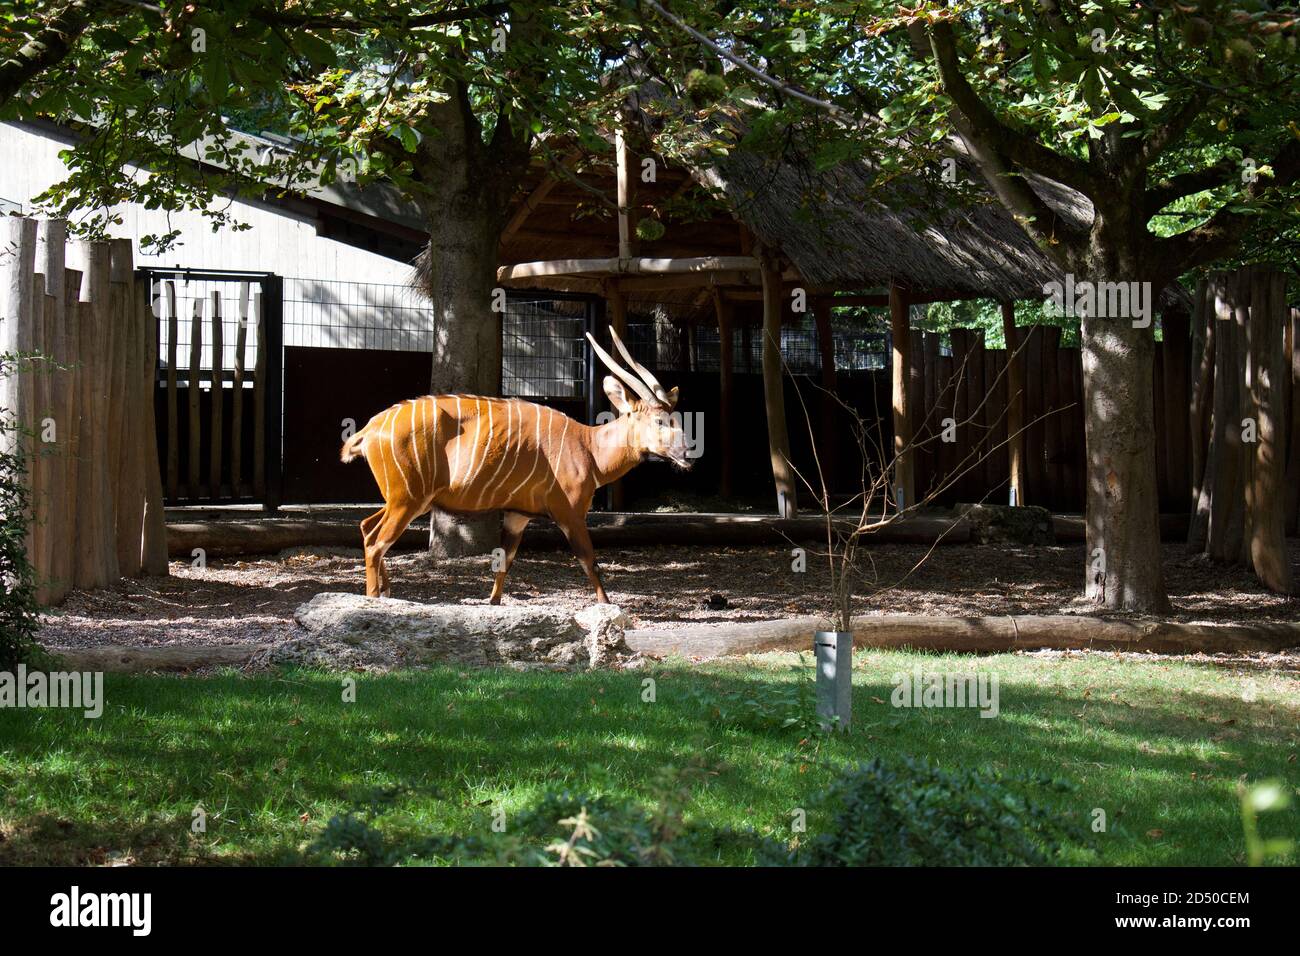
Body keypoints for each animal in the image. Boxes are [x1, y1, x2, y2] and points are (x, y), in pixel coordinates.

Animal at [341, 327, 692, 603]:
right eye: (660, 420)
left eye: (675, 417)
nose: (688, 452)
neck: (588, 447)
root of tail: (371, 428)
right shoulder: (570, 514)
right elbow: (589, 561)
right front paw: (608, 608)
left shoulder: (517, 516)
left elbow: (504, 563)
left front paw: (492, 603)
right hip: (407, 499)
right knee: (376, 543)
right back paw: (375, 598)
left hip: (407, 501)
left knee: (367, 528)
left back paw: (386, 591)